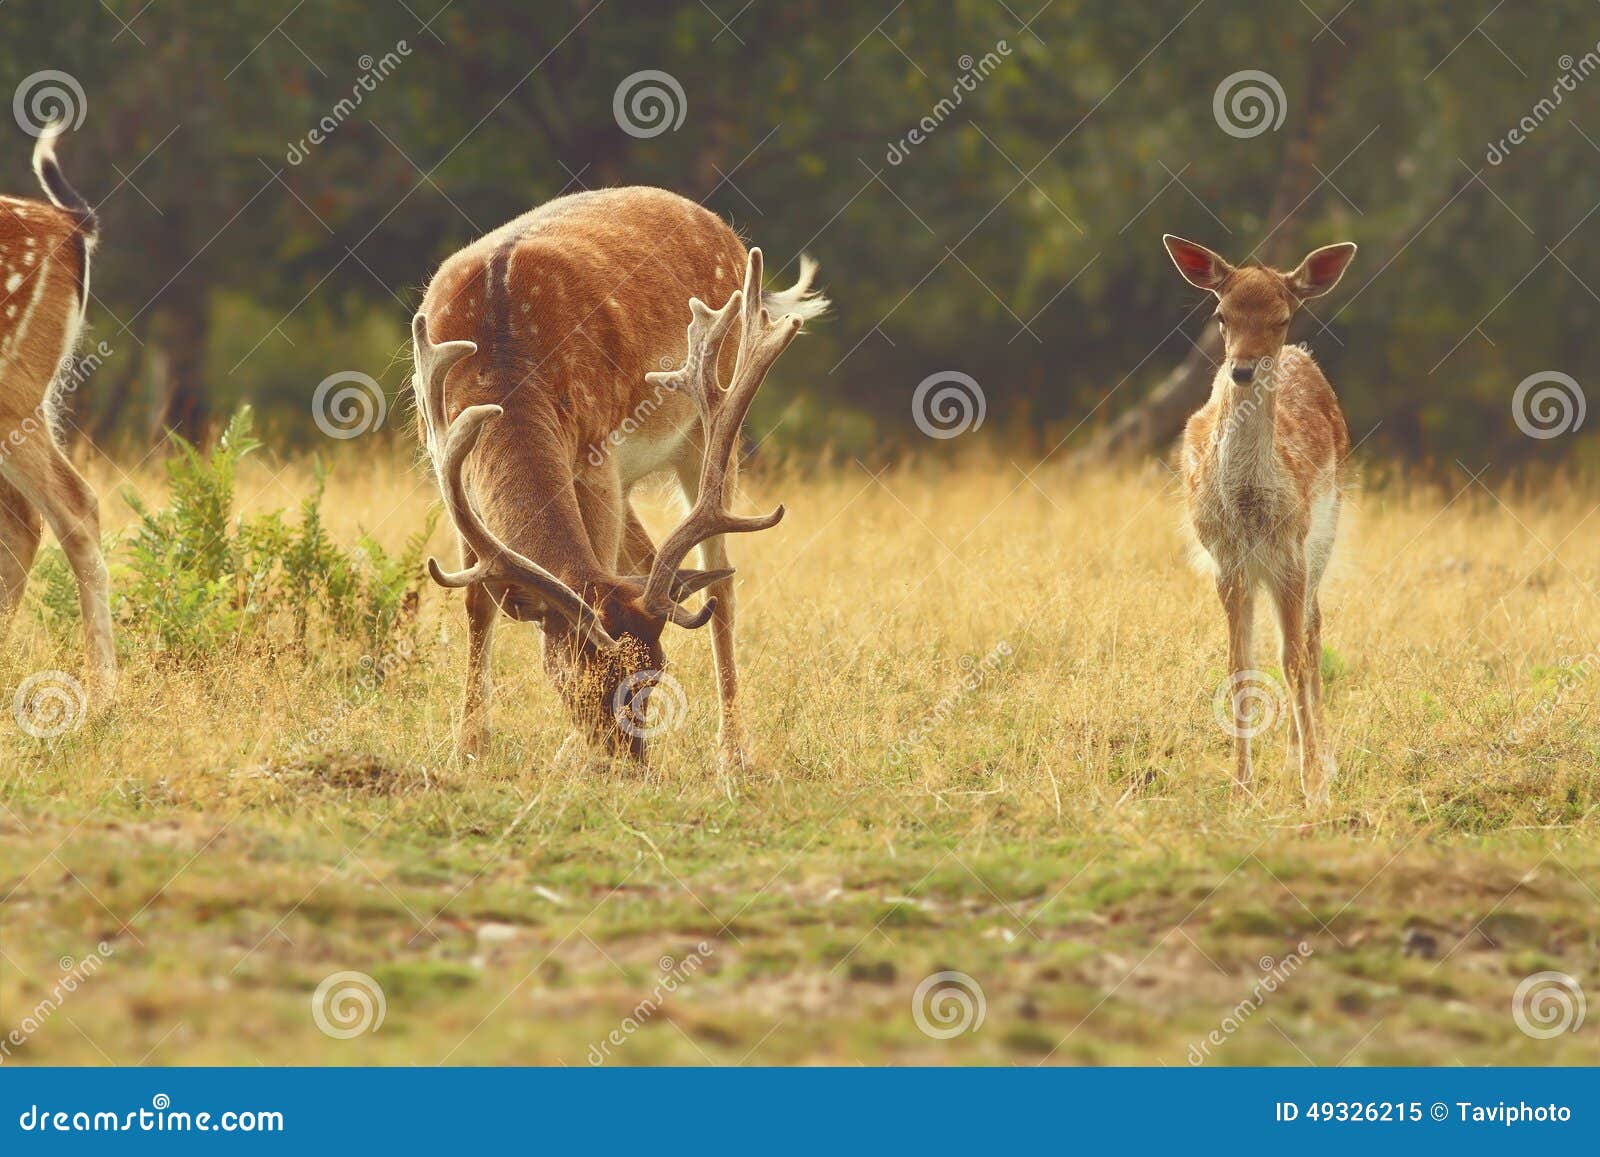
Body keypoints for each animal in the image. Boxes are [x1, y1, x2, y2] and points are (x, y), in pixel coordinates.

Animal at [411, 187, 825, 772]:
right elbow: (478, 603)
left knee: (721, 584)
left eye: (656, 675)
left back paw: (733, 750)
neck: (499, 361)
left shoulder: (597, 452)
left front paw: (558, 752)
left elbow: (596, 567)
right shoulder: (444, 457)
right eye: (570, 681)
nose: (629, 764)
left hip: (707, 433)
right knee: (654, 561)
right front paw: (468, 748)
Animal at [1162, 234, 1357, 808]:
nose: (1242, 369)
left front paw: (1315, 787)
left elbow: (1293, 659)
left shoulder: (1291, 548)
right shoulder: (1226, 560)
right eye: (1220, 315)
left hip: (1323, 536)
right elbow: (1239, 664)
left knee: (1311, 636)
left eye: (1282, 317)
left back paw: (1316, 759)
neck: (1248, 508)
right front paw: (1240, 788)